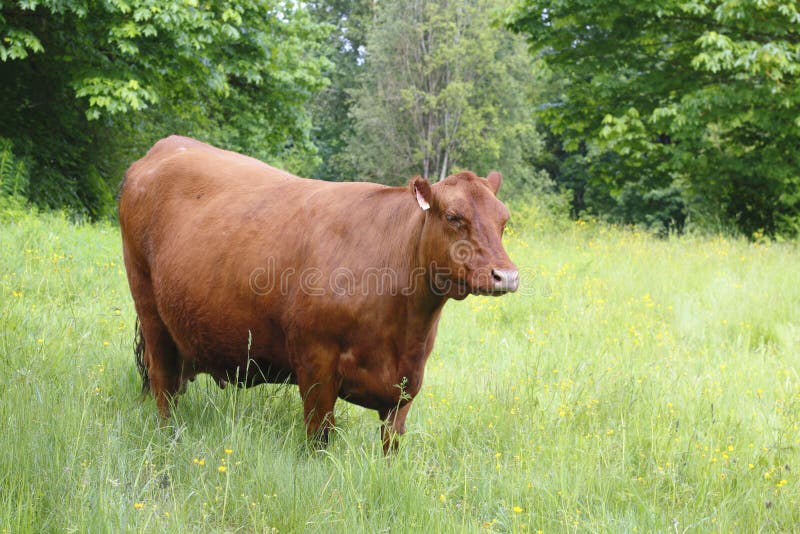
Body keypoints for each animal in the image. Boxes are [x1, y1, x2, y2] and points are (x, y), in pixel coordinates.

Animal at [119, 135, 519, 453]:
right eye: (453, 217)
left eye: (504, 220)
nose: (507, 276)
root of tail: (164, 147)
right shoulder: (316, 364)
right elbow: (319, 437)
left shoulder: (407, 380)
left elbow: (391, 444)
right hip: (149, 308)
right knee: (162, 382)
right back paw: (168, 435)